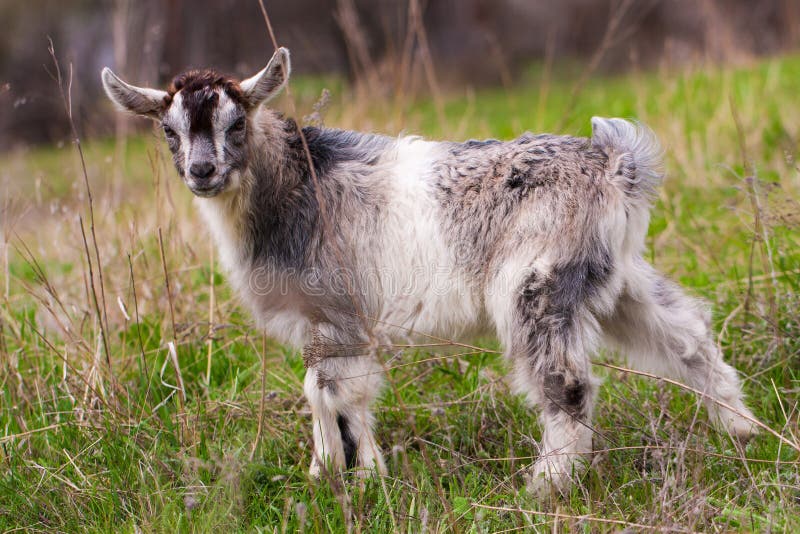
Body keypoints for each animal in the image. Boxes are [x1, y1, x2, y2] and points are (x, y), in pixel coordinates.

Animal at [101, 48, 756, 494]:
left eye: (235, 124)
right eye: (169, 131)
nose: (202, 171)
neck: (293, 186)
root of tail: (614, 165)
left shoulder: (339, 314)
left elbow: (331, 390)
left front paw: (355, 475)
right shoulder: (328, 325)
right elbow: (327, 392)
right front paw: (328, 471)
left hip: (537, 285)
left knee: (567, 384)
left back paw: (543, 487)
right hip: (613, 278)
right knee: (687, 333)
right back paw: (741, 430)